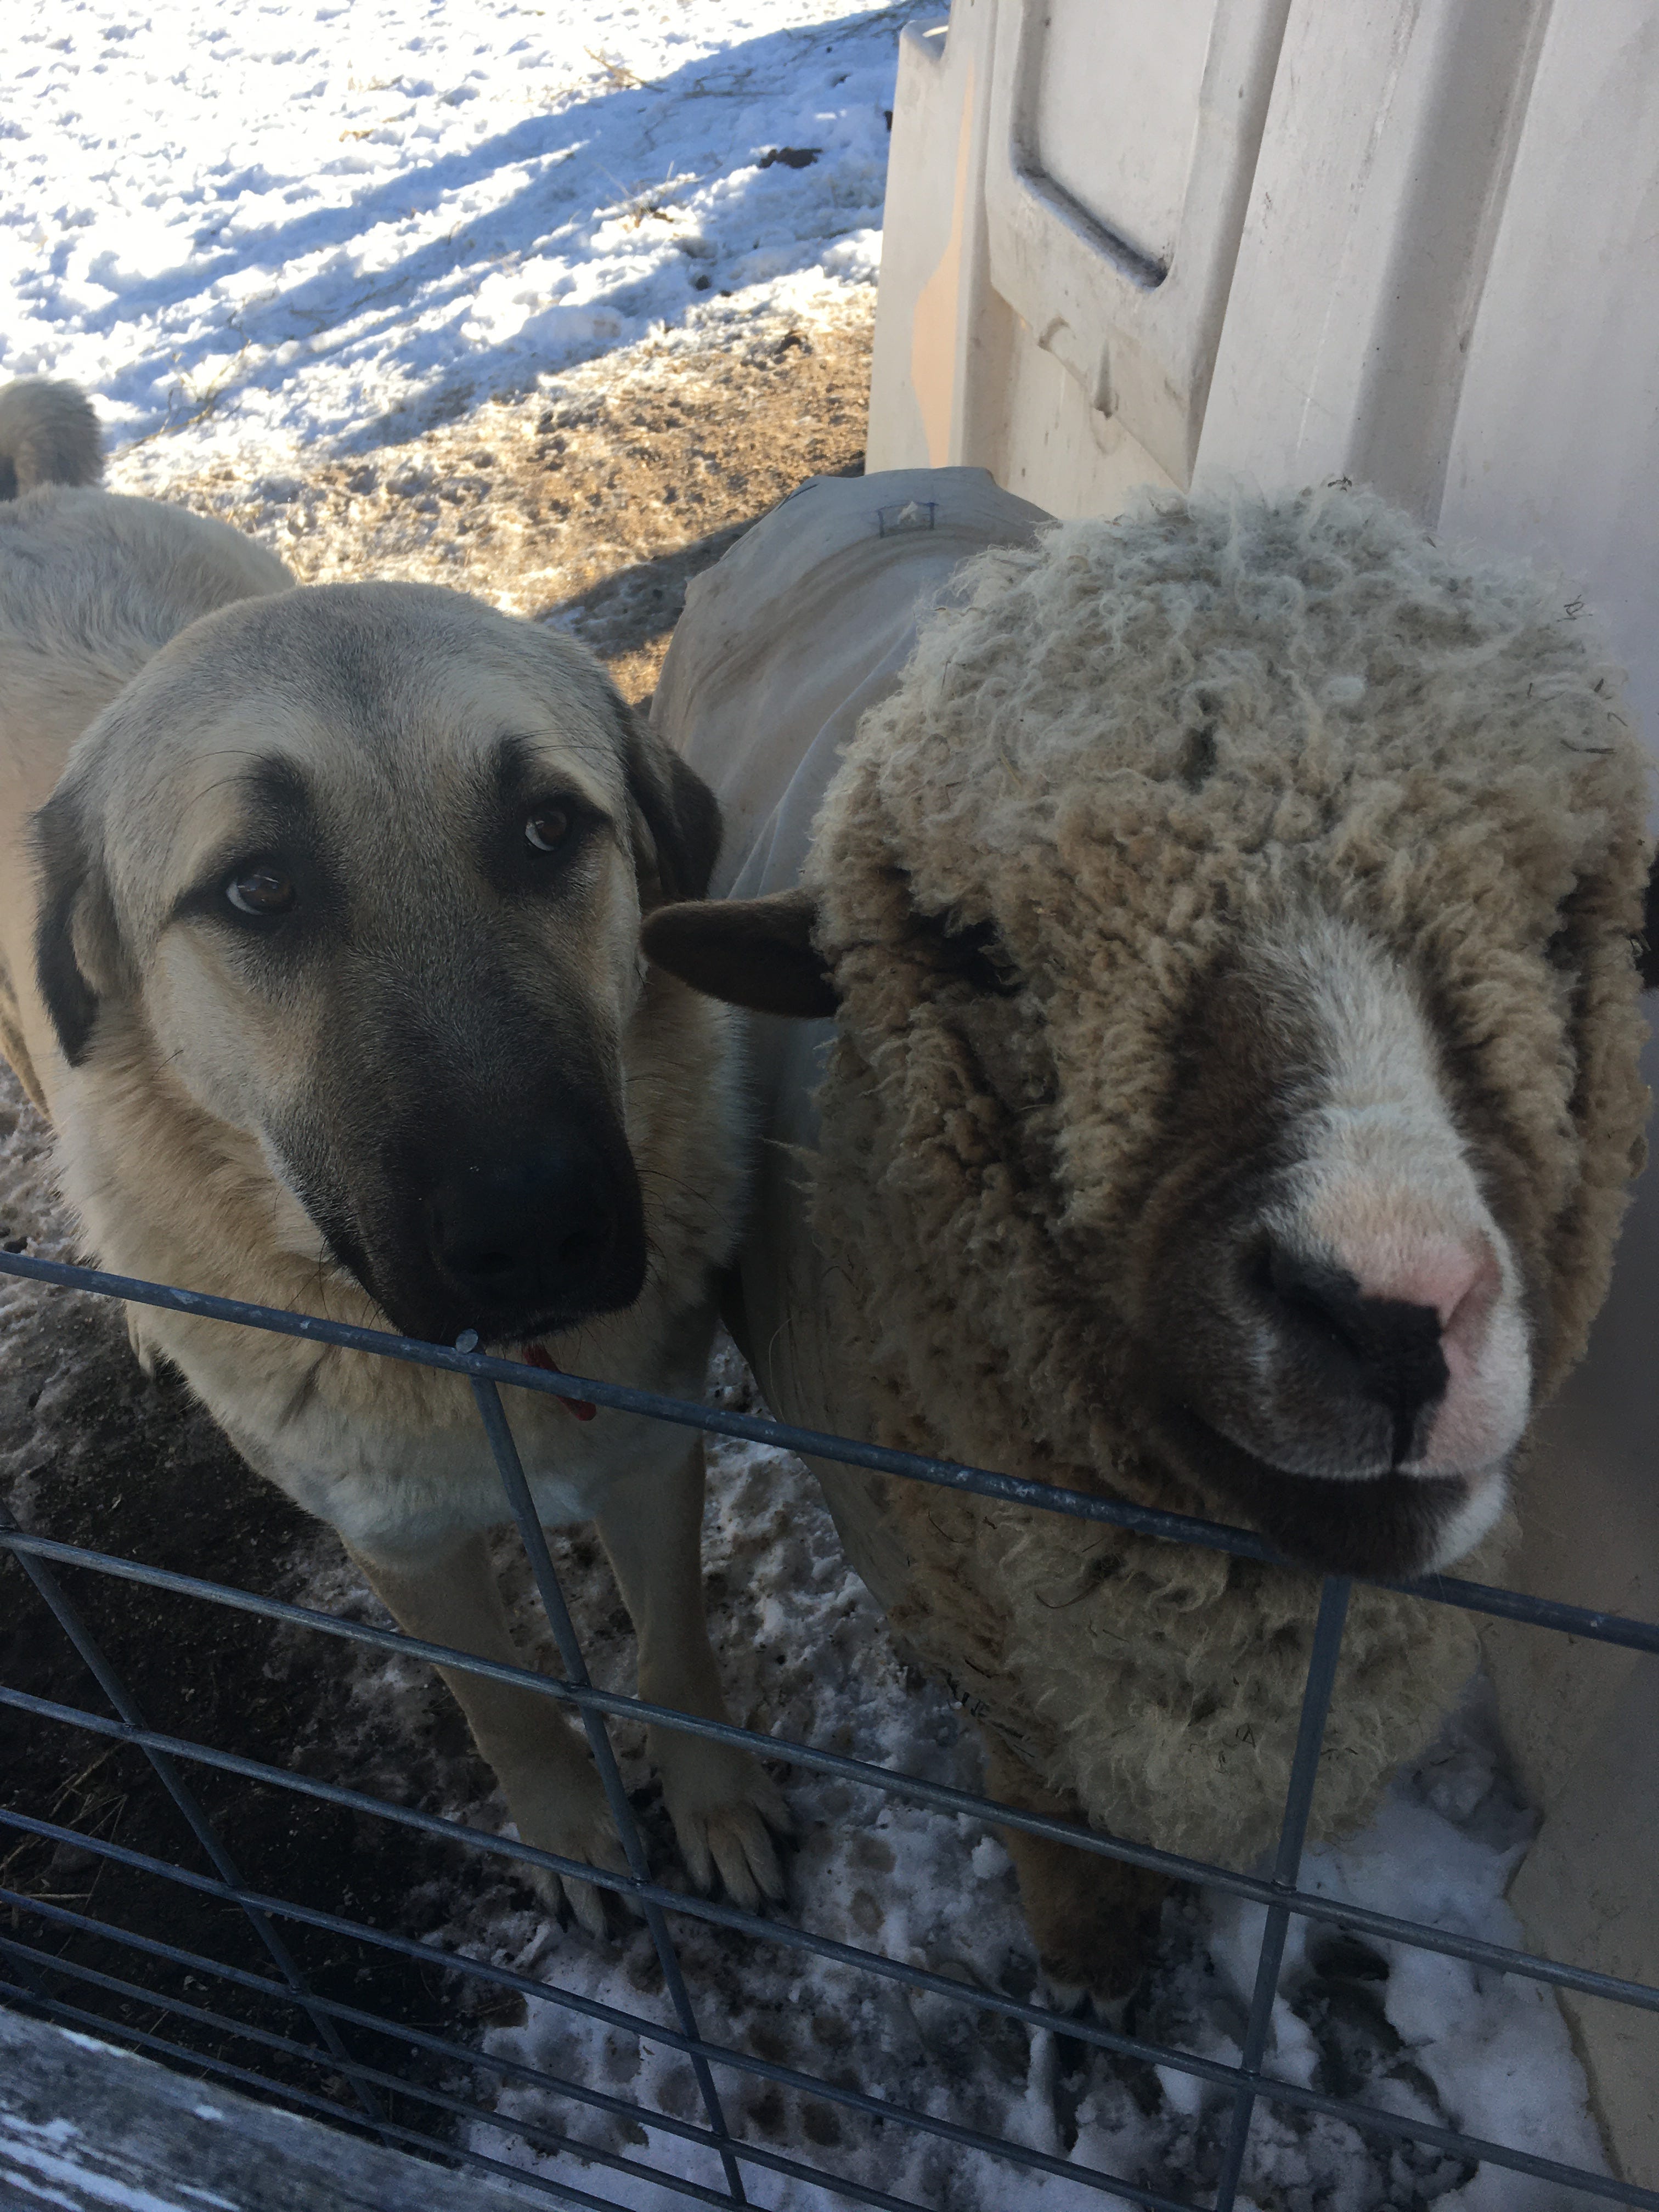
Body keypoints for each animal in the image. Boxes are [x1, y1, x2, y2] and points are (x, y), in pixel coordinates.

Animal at [640, 468, 1655, 2003]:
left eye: (1563, 922)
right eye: (979, 950)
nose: (1391, 1314)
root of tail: (867, 481)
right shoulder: (1005, 1683)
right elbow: (1064, 1862)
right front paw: (1092, 1978)